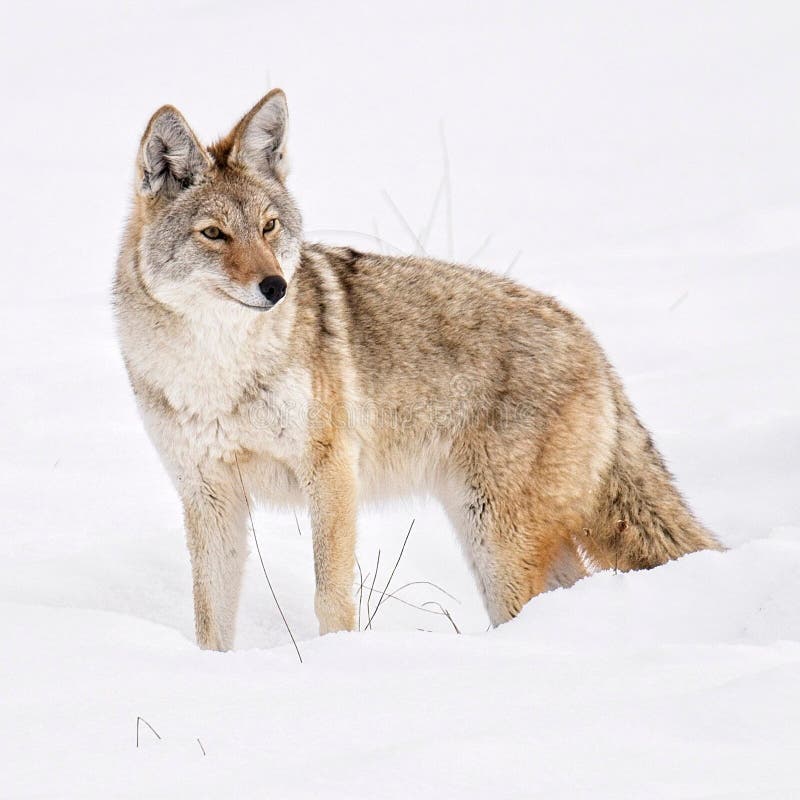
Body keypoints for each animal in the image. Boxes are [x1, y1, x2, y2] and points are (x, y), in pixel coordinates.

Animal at [114, 90, 722, 650]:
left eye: (268, 227)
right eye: (213, 234)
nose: (276, 287)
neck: (216, 372)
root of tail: (589, 340)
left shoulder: (331, 474)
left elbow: (330, 594)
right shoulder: (208, 495)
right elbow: (210, 618)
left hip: (495, 541)